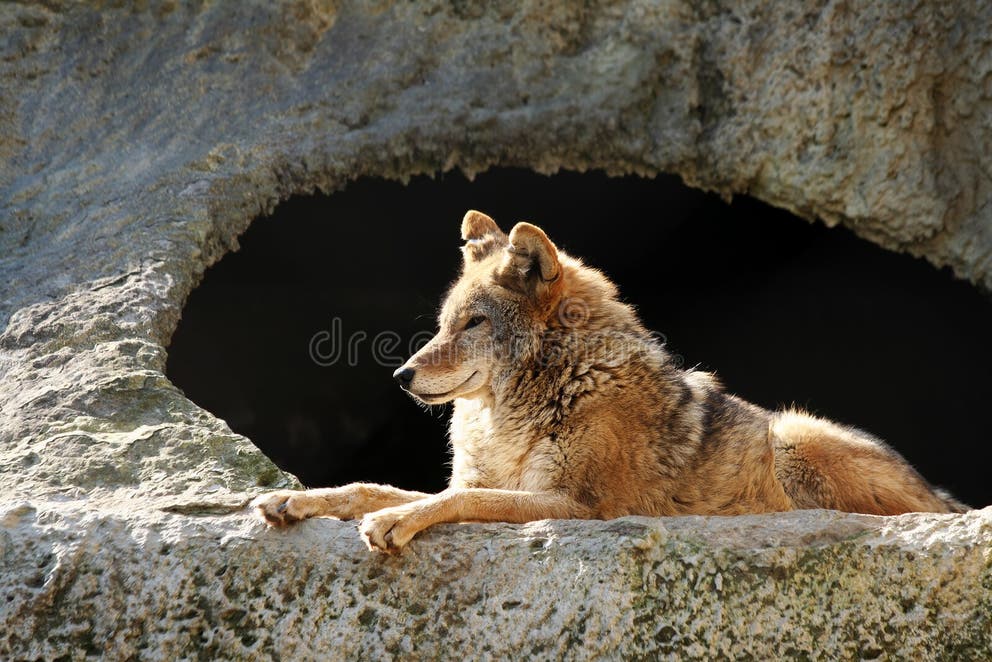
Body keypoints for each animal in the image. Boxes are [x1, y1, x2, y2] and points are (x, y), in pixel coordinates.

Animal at [253, 210, 967, 552]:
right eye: (445, 323)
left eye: (475, 323)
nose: (402, 375)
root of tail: (949, 501)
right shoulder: (486, 480)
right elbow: (371, 487)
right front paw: (297, 500)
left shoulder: (582, 507)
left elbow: (455, 501)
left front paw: (398, 520)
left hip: (793, 435)